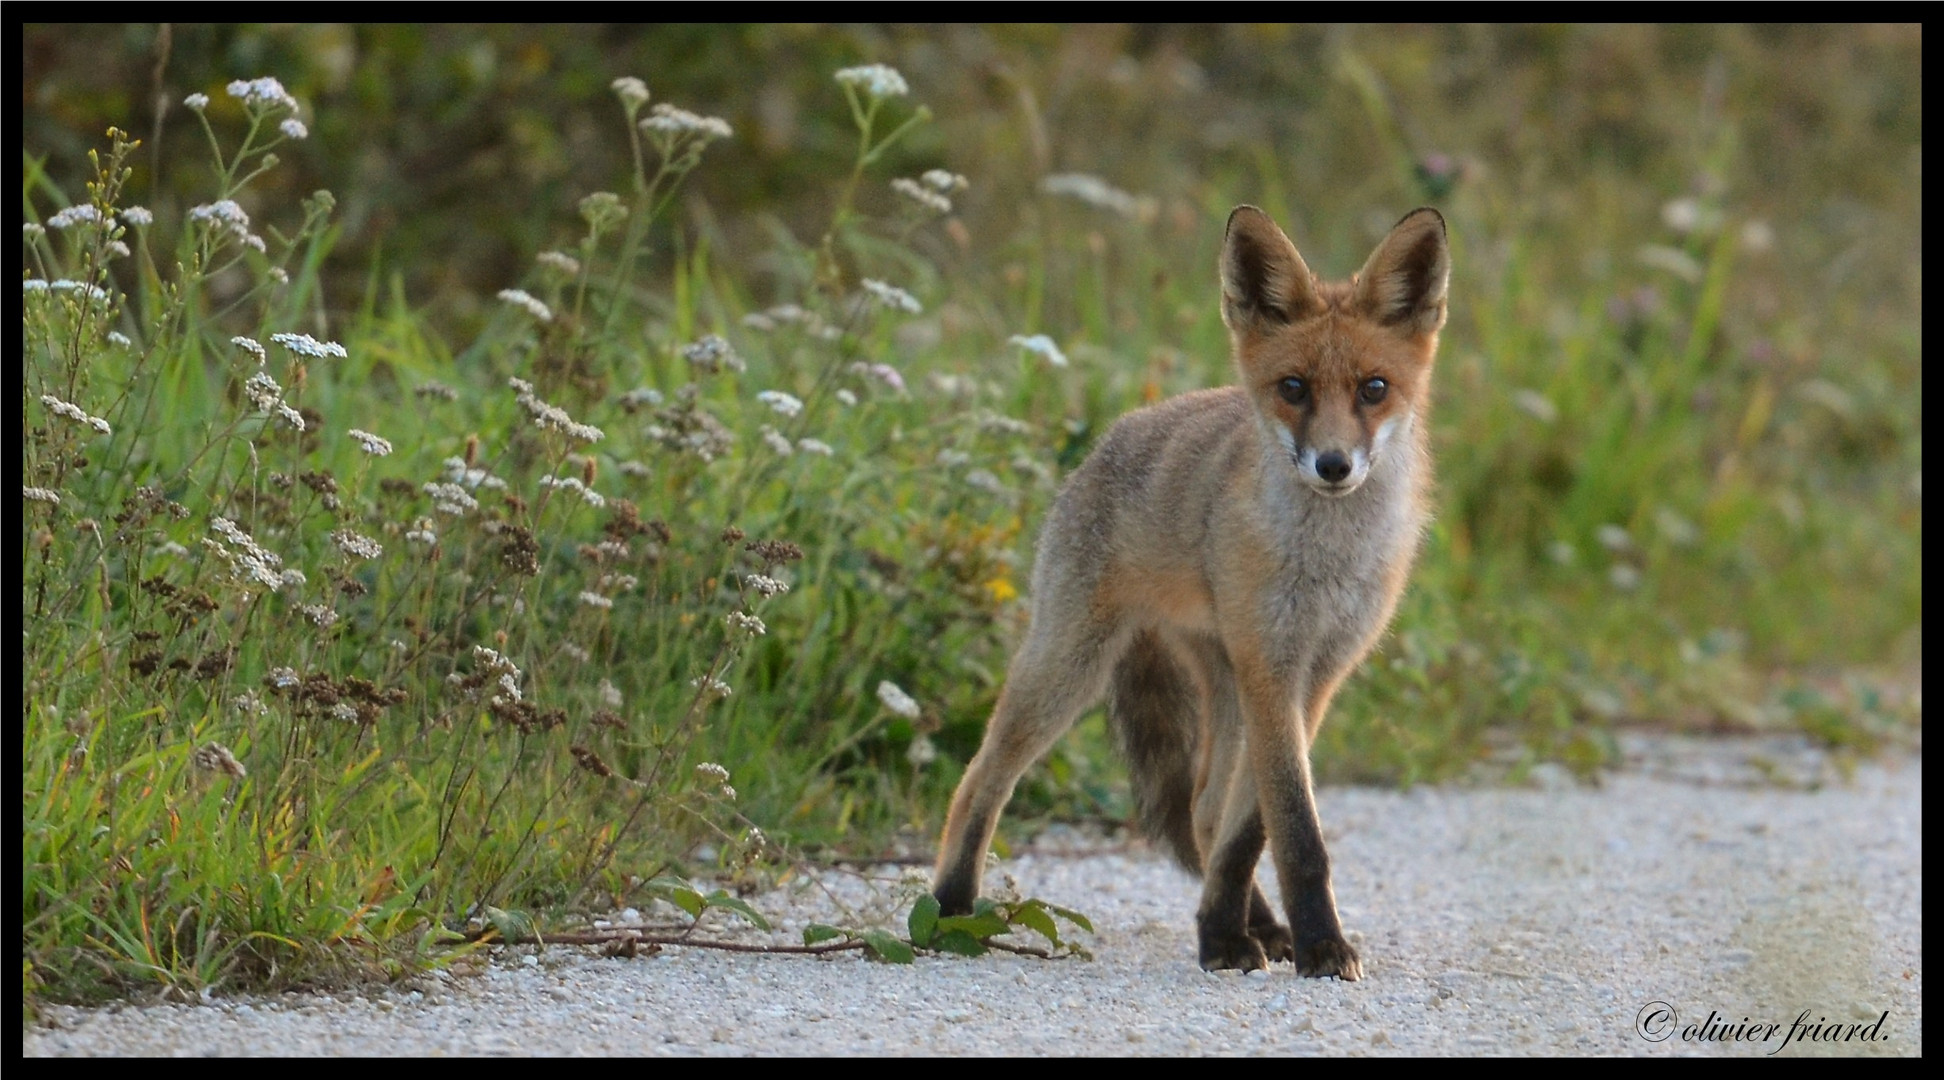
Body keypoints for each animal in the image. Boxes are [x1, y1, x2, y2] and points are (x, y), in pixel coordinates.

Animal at [932, 205, 1449, 979]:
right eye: (1293, 388)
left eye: (1374, 388)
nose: (1333, 465)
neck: (1325, 561)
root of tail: (1112, 435)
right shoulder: (1272, 666)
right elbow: (1296, 833)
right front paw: (1314, 945)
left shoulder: (1318, 674)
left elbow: (1252, 830)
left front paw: (1231, 936)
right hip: (1070, 665)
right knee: (980, 779)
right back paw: (949, 907)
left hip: (1217, 683)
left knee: (1206, 810)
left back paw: (1254, 923)